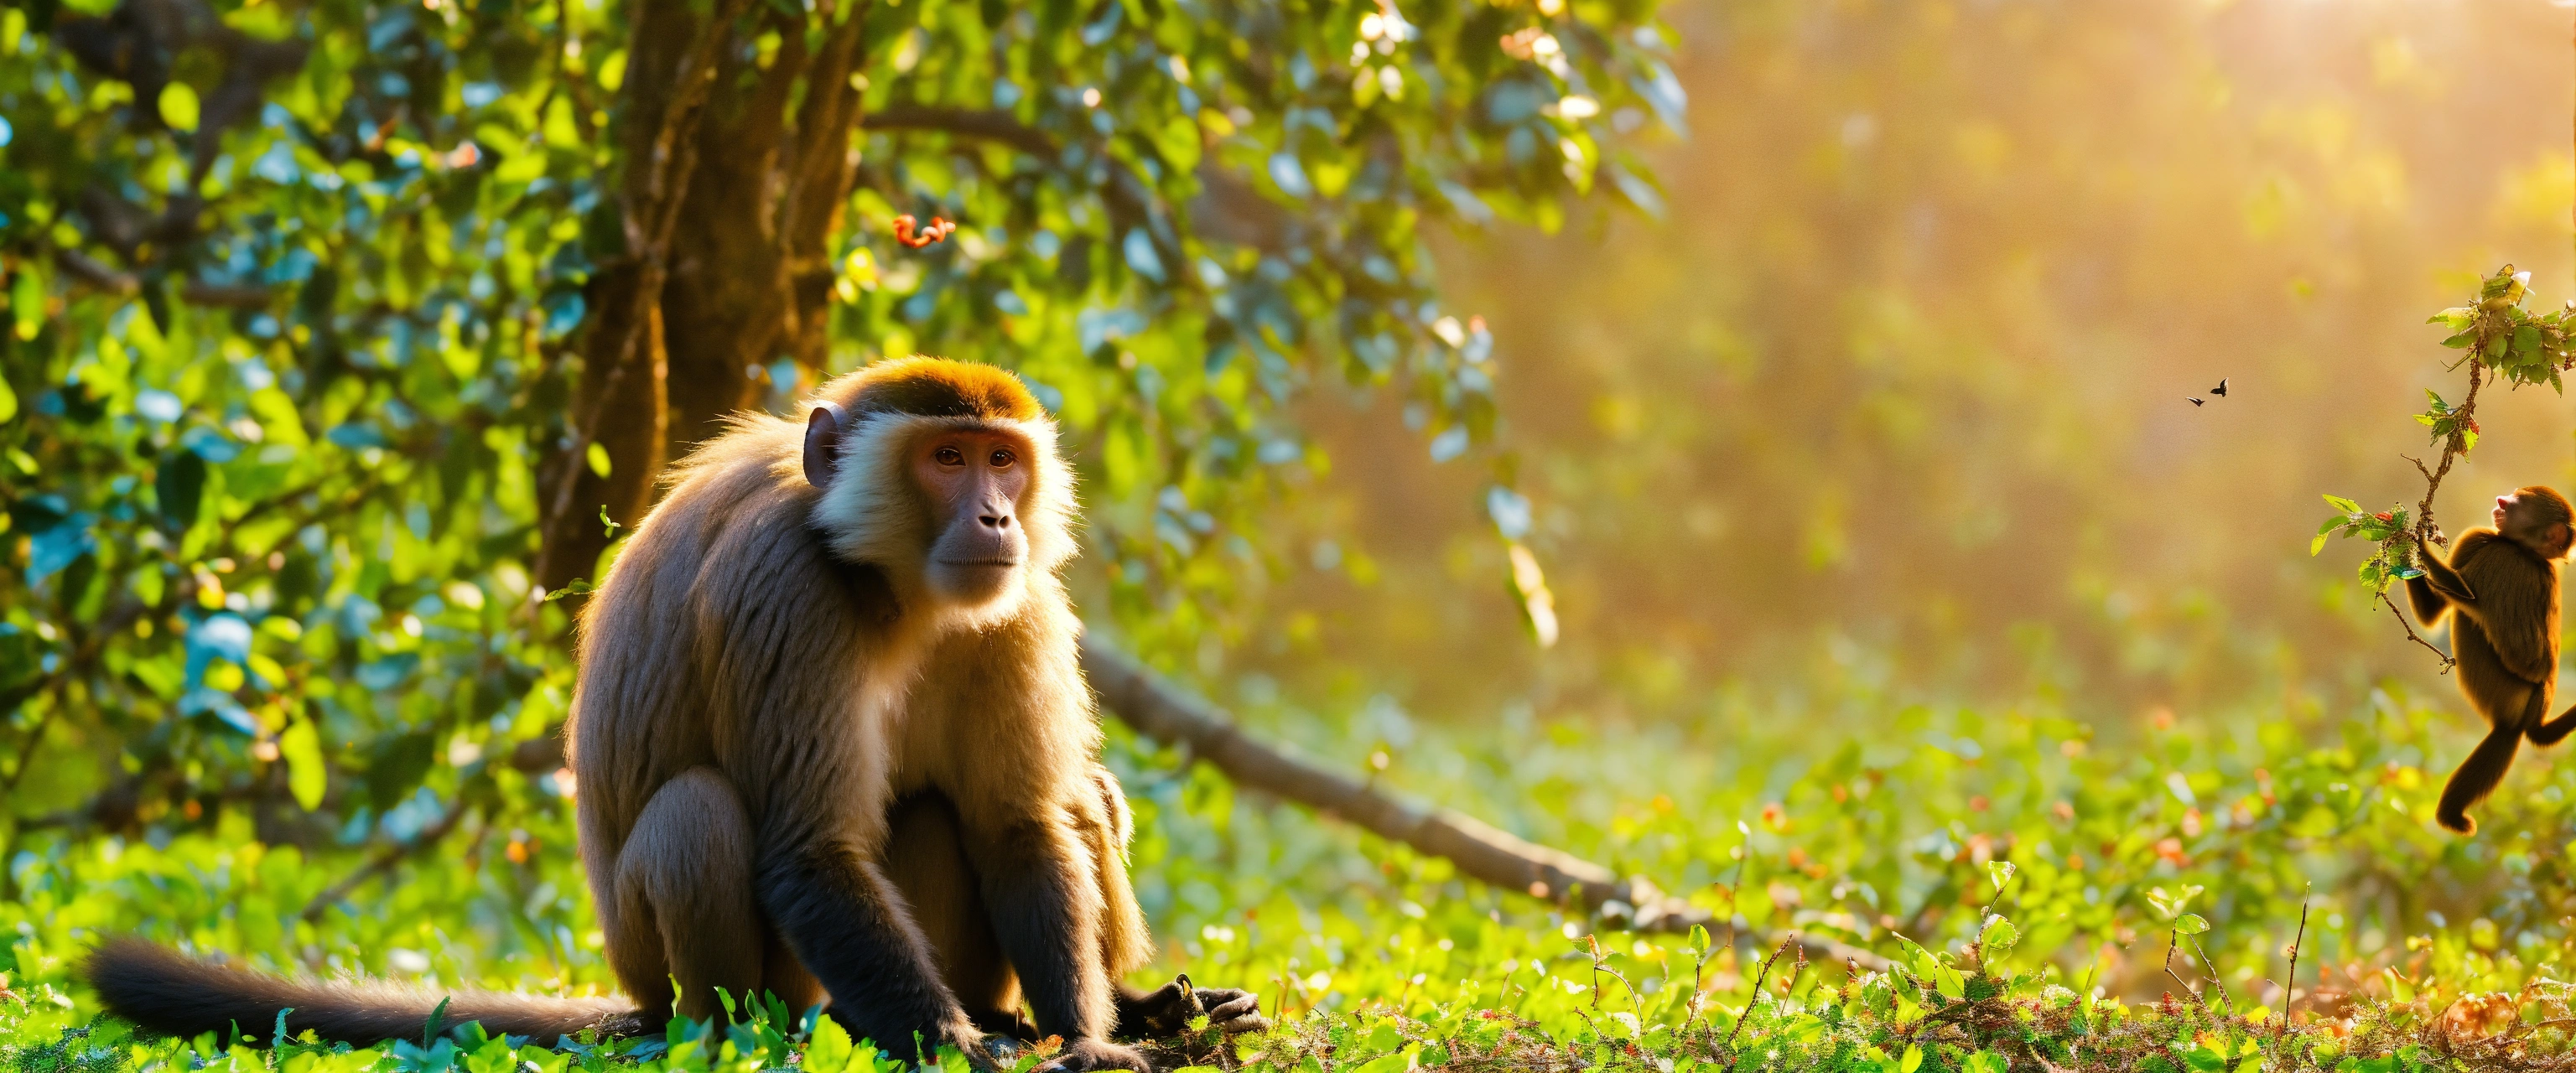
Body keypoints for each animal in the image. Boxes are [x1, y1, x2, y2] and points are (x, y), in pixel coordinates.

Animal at [88, 357, 1262, 1069]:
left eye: (1003, 459)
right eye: (946, 456)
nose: (993, 517)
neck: (894, 588)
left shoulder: (1014, 607)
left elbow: (1019, 826)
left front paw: (1093, 1036)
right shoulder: (784, 585)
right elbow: (807, 852)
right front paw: (975, 1052)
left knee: (1052, 798)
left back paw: (1086, 1004)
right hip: (720, 974)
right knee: (703, 810)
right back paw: (758, 1034)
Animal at [2406, 485, 2576, 835]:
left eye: (2515, 503)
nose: (2500, 502)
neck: (2525, 551)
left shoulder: (2498, 552)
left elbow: (2527, 659)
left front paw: (2422, 546)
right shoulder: (2478, 538)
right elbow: (2432, 613)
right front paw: (2400, 537)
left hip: (2509, 695)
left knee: (2508, 729)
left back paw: (2452, 815)